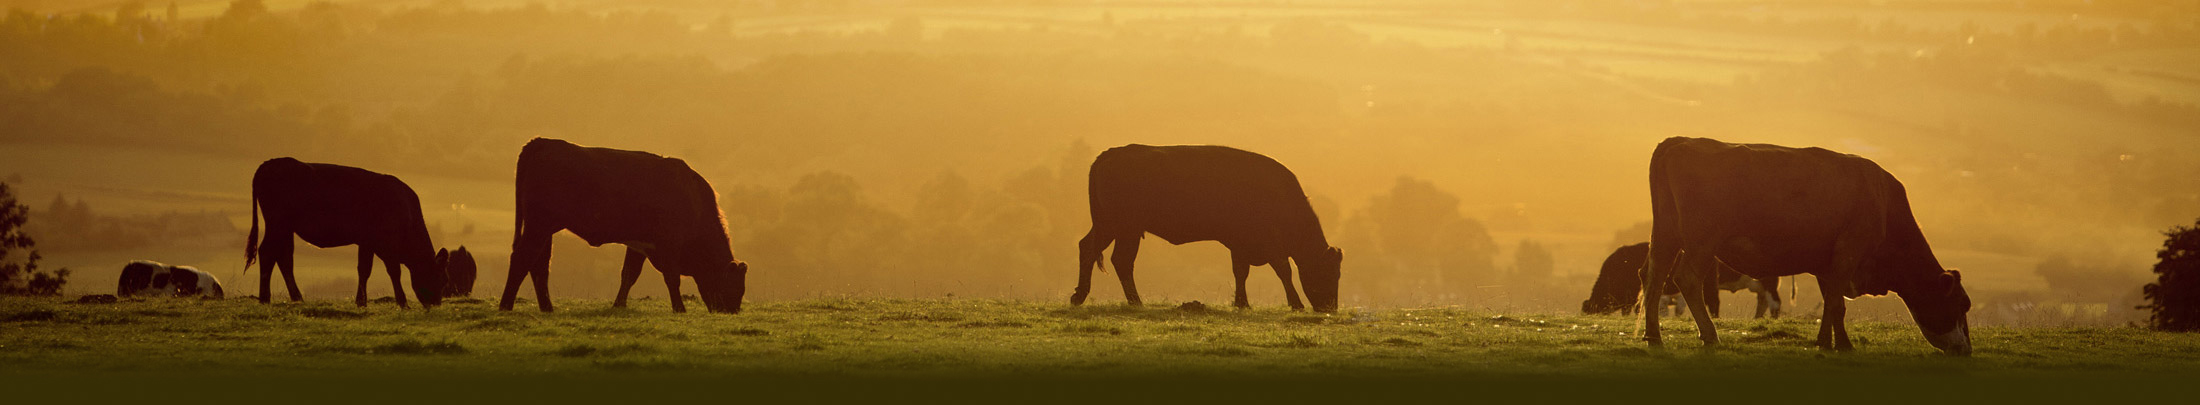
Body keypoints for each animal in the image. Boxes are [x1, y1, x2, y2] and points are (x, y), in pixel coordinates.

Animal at [245, 158, 447, 309]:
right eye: (441, 278)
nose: (435, 303)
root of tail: (271, 163)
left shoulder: (367, 242)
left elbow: (364, 270)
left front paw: (361, 302)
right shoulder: (386, 242)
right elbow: (394, 271)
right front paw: (403, 303)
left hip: (284, 228)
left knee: (283, 257)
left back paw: (295, 298)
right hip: (277, 223)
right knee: (268, 252)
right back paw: (266, 298)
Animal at [500, 138, 747, 314]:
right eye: (734, 286)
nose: (731, 311)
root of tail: (543, 142)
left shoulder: (639, 246)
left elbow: (629, 274)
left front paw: (619, 304)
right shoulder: (669, 246)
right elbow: (671, 278)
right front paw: (679, 308)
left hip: (544, 229)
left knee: (539, 264)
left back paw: (547, 307)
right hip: (538, 226)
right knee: (522, 258)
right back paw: (506, 305)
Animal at [1074, 144, 1343, 312]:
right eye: (1330, 272)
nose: (1329, 307)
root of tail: (1112, 153)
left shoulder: (1240, 244)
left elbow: (1240, 272)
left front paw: (1242, 303)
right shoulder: (1270, 244)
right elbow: (1283, 270)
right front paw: (1296, 304)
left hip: (1109, 227)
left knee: (1089, 248)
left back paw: (1080, 296)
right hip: (1124, 228)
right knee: (1120, 260)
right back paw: (1134, 302)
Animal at [1644, 137, 1971, 355]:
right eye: (1961, 304)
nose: (1966, 350)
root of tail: (1683, 141)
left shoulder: (1827, 263)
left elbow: (1831, 303)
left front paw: (1828, 342)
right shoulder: (1848, 251)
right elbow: (1837, 304)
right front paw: (1842, 345)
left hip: (1665, 234)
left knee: (1654, 277)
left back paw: (1653, 336)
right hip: (1702, 240)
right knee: (1686, 278)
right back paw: (1710, 335)